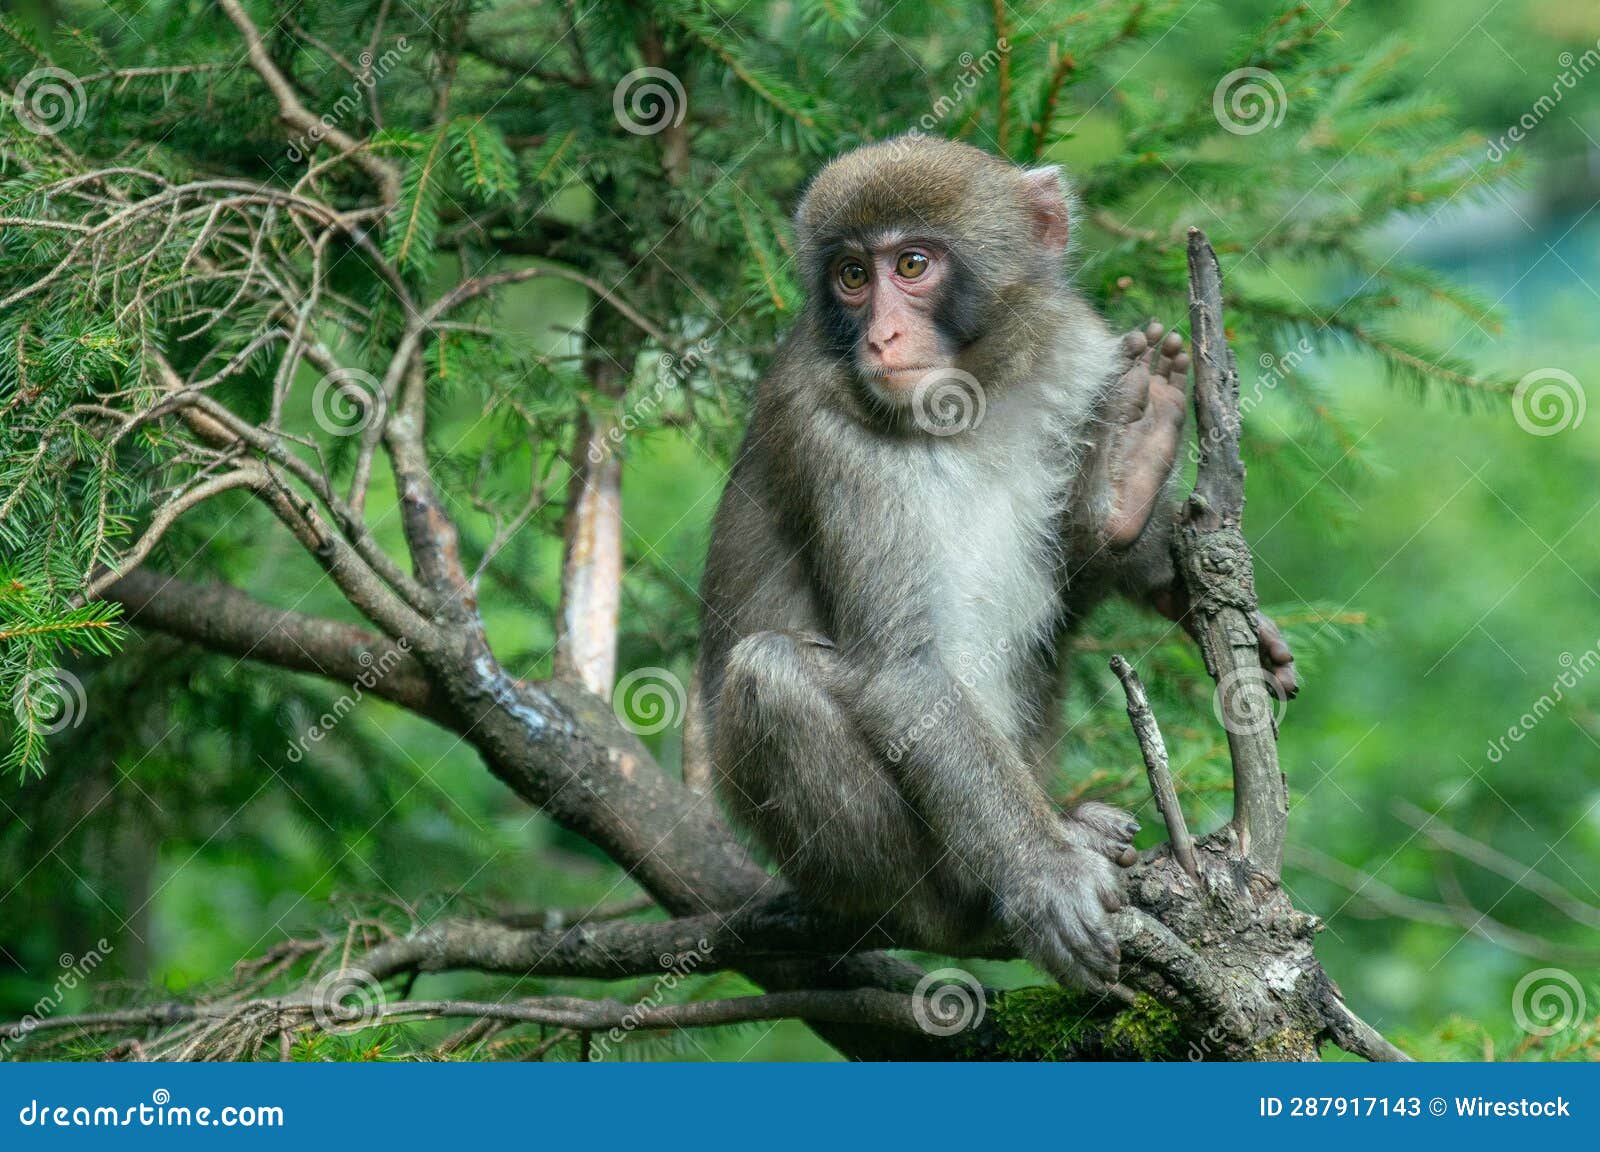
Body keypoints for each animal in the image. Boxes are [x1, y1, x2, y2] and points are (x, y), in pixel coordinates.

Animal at [693, 136, 1295, 987]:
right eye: (852, 275)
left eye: (912, 264)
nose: (880, 337)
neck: (970, 394)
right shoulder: (825, 430)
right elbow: (904, 674)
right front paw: (1045, 876)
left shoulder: (1071, 351)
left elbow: (1073, 579)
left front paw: (1156, 548)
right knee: (770, 673)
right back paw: (984, 897)